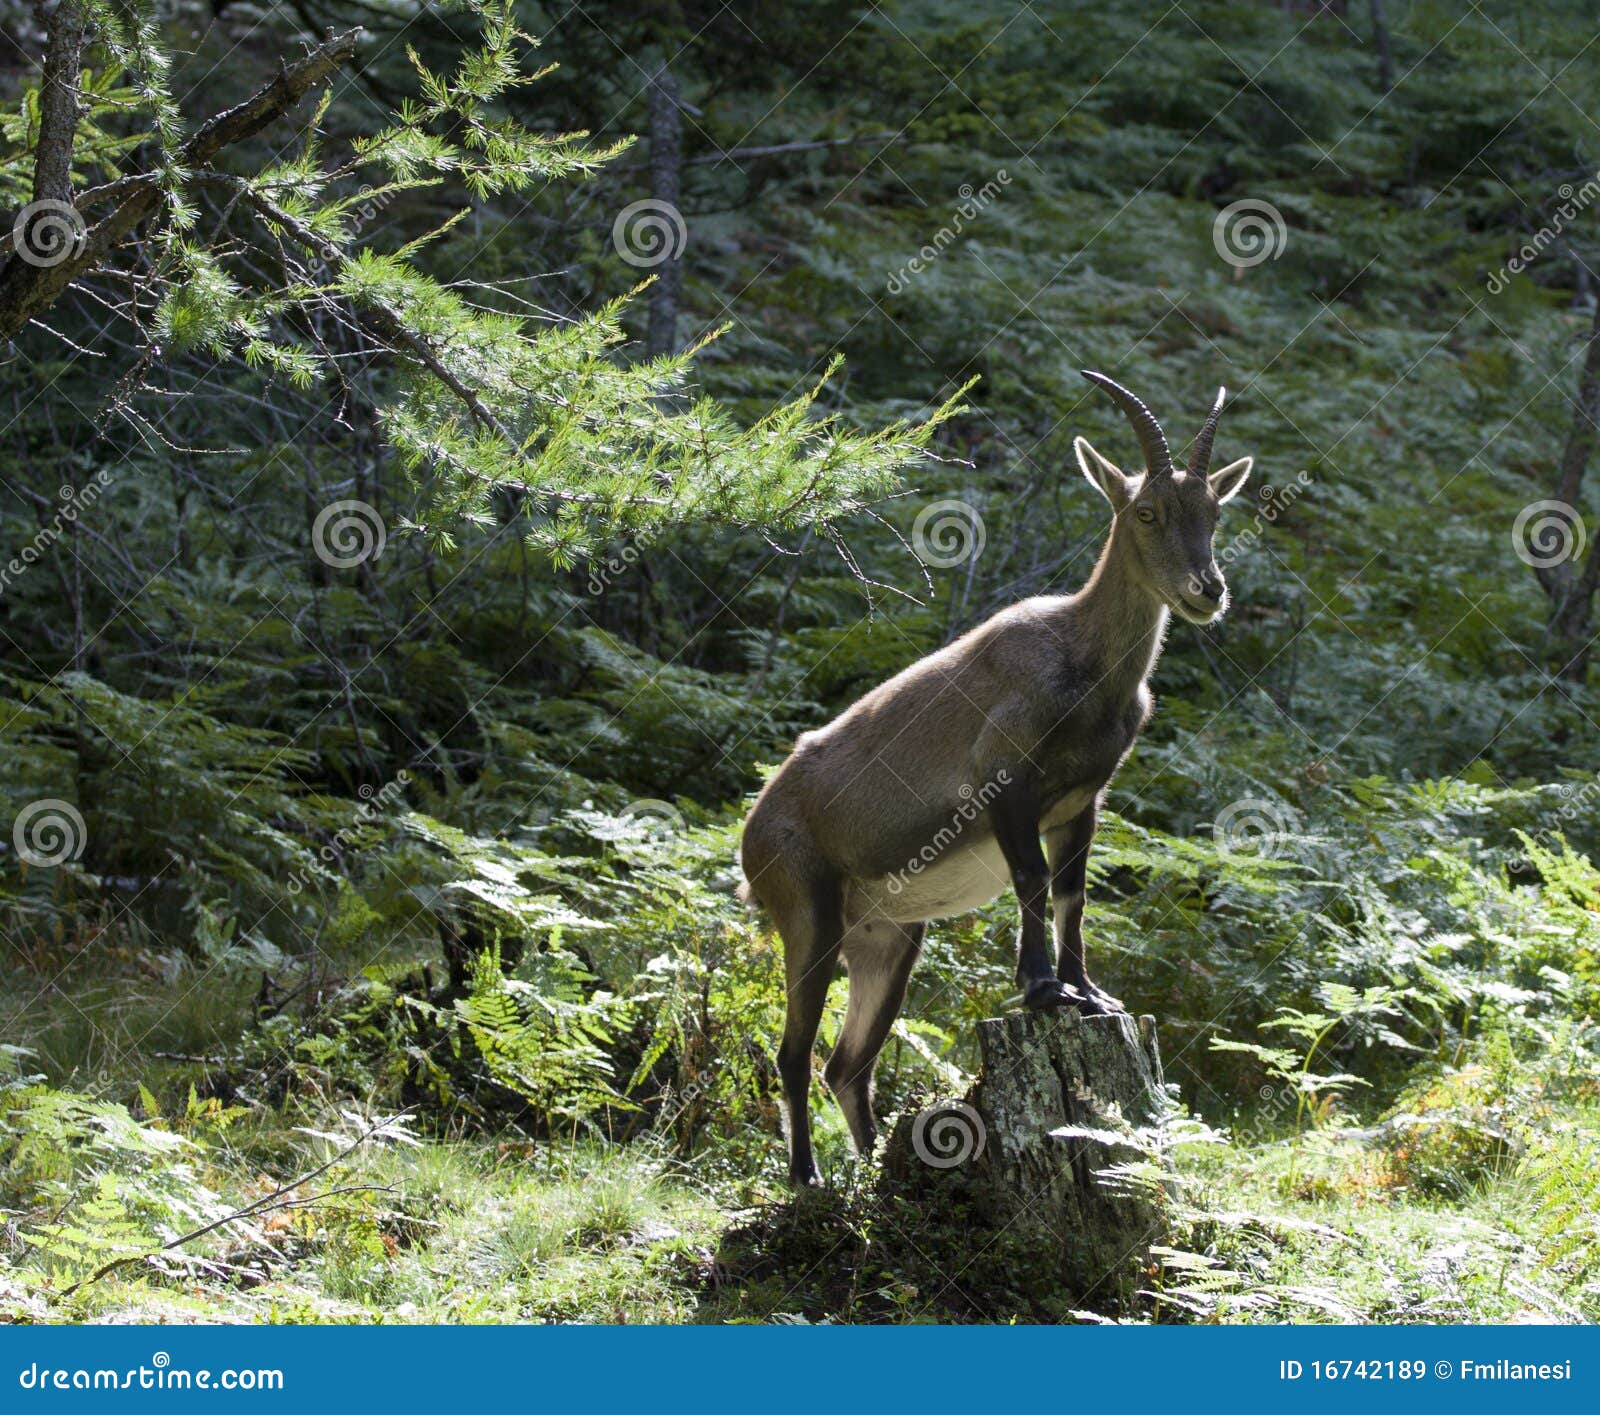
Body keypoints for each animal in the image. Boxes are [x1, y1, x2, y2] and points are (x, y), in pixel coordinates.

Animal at [738, 371, 1255, 1187]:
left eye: (1213, 511)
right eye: (1146, 510)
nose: (1208, 590)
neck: (1085, 667)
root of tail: (749, 837)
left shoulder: (1080, 803)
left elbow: (1073, 894)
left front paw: (1091, 994)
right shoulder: (1003, 783)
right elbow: (1032, 881)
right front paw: (1041, 989)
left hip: (887, 939)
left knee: (848, 1066)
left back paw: (872, 1171)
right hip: (807, 911)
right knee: (794, 1055)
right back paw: (807, 1179)